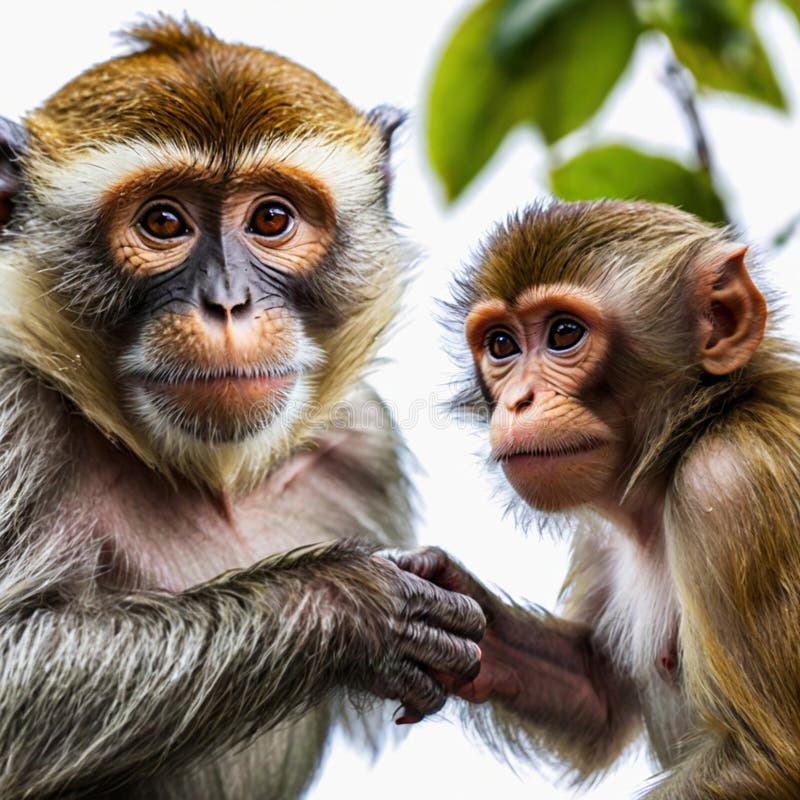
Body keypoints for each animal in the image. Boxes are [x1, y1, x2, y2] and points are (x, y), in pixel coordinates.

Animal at [0, 17, 485, 800]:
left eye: (272, 218)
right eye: (164, 222)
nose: (227, 303)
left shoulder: (366, 443)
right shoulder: (10, 415)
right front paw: (356, 607)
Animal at [398, 199, 800, 798]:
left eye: (565, 334)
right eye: (502, 346)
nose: (518, 401)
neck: (683, 441)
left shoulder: (731, 483)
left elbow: (770, 758)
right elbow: (597, 695)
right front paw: (443, 607)